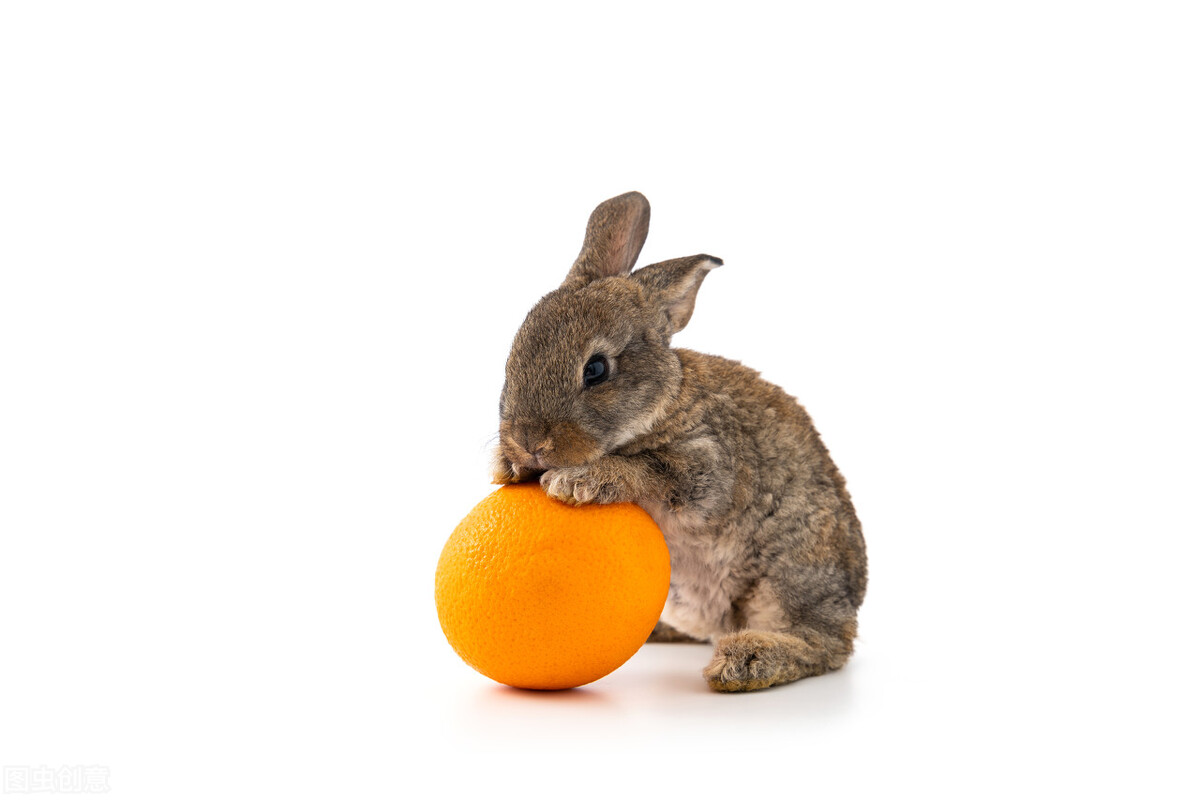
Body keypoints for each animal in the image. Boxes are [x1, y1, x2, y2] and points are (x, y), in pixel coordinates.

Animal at [491, 191, 867, 692]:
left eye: (596, 369)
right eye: (513, 357)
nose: (529, 441)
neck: (662, 401)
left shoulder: (708, 466)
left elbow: (651, 469)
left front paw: (578, 481)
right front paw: (508, 466)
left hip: (789, 572)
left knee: (825, 644)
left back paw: (747, 660)